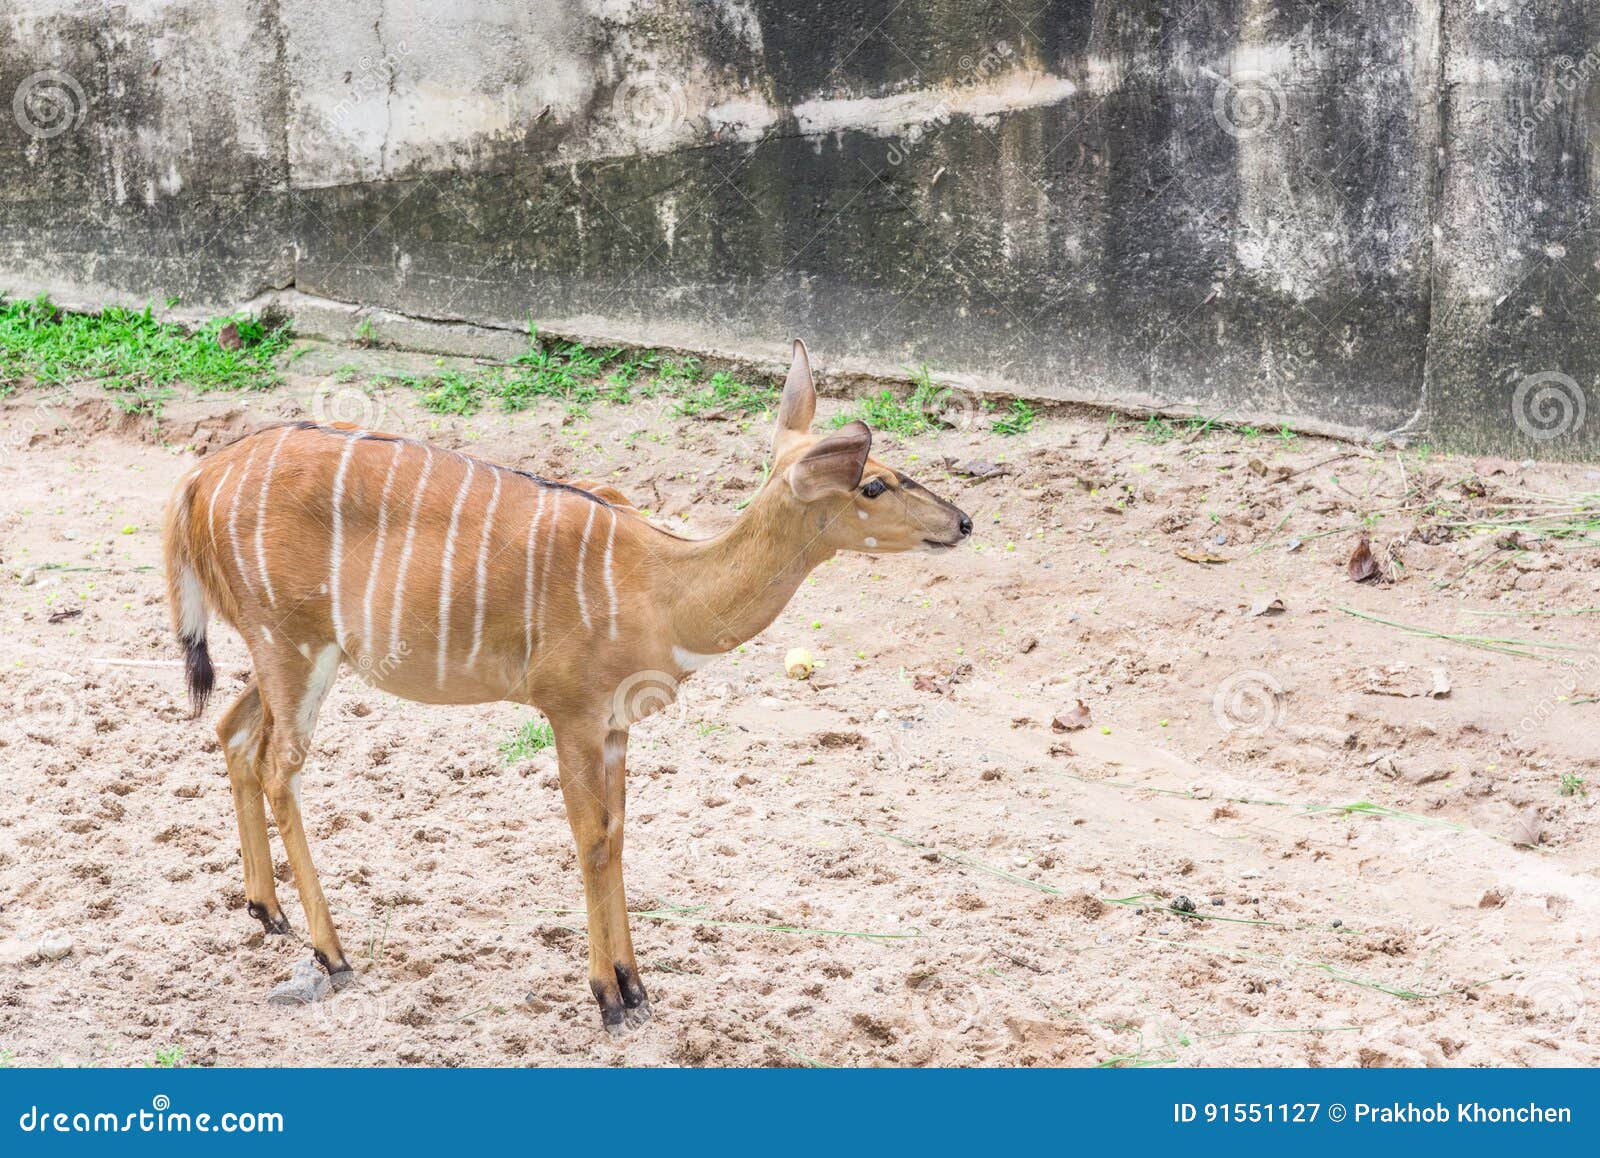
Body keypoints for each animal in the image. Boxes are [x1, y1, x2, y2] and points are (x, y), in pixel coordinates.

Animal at [162, 339, 973, 1035]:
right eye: (873, 483)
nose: (962, 522)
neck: (663, 587)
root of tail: (199, 481)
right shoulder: (572, 710)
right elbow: (589, 837)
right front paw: (608, 997)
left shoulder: (615, 724)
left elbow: (617, 836)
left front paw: (637, 987)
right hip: (293, 645)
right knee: (279, 767)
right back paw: (332, 955)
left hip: (285, 653)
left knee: (232, 732)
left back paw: (266, 913)